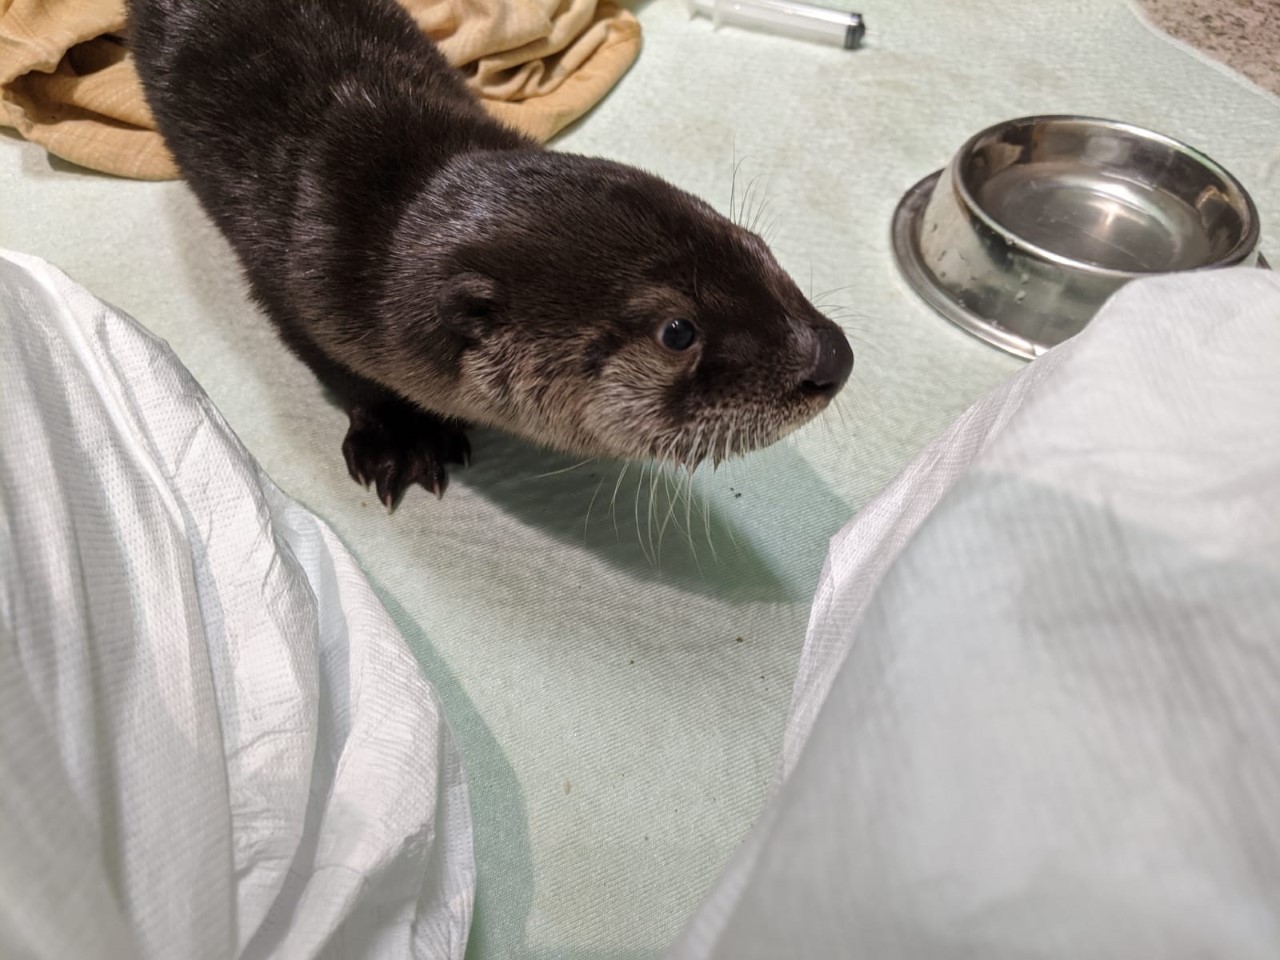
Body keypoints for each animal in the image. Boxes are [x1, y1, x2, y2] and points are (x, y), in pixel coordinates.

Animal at [126, 0, 854, 507]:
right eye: (678, 332)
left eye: (754, 246)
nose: (833, 358)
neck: (386, 206)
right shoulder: (295, 292)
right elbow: (344, 371)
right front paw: (401, 437)